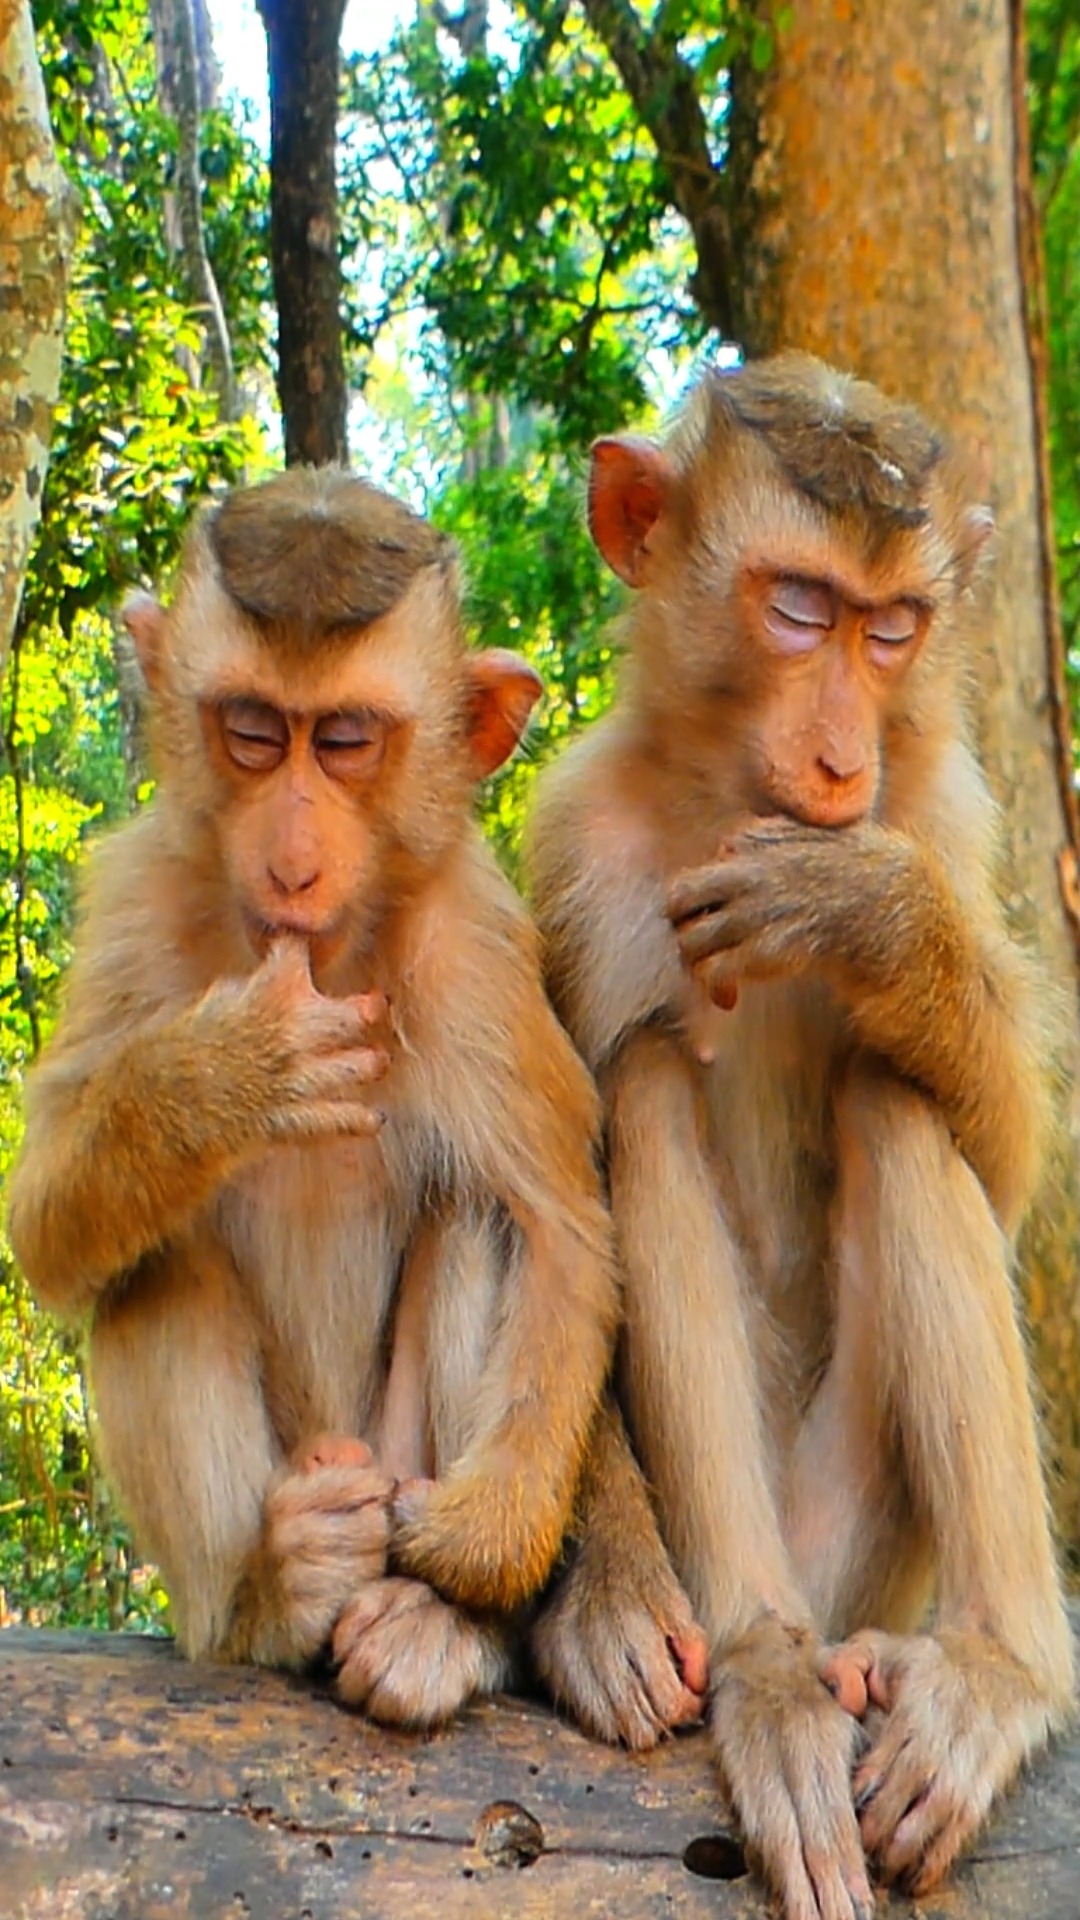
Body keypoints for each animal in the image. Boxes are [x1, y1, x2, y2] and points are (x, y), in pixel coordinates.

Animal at [7, 467, 706, 1742]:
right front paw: (229, 1075)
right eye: (248, 732)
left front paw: (477, 1548)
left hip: (390, 1445)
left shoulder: (474, 950)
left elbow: (560, 1230)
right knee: (151, 1262)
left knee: (478, 1213)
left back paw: (439, 1625)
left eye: (343, 742)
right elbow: (44, 1225)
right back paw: (279, 1591)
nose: (290, 859)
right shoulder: (134, 904)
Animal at [526, 352, 1075, 1919]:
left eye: (892, 631)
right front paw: (605, 1591)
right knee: (646, 1082)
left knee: (897, 1099)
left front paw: (867, 915)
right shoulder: (570, 838)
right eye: (797, 609)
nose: (840, 760)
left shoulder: (944, 809)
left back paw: (998, 1668)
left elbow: (1011, 1161)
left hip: (864, 1534)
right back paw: (762, 1664)